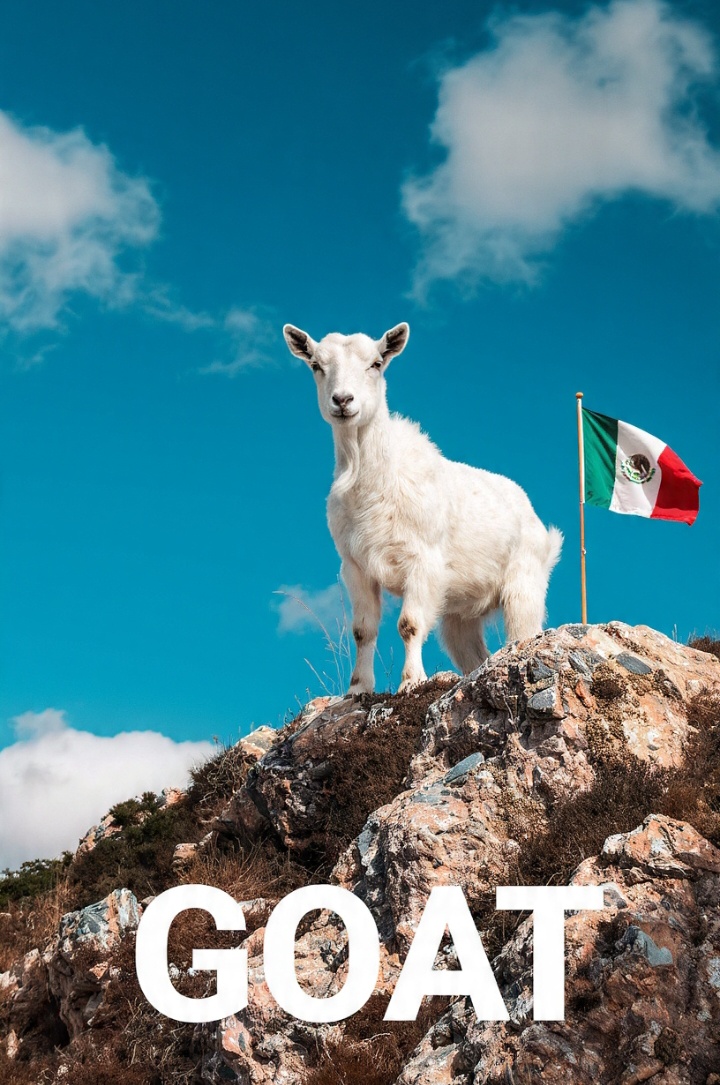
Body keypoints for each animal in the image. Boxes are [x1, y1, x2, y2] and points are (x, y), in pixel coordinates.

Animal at [283, 322, 562, 694]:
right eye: (316, 365)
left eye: (376, 363)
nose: (342, 401)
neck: (372, 482)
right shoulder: (355, 566)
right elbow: (362, 630)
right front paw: (358, 689)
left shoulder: (423, 561)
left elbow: (409, 624)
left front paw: (411, 681)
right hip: (460, 613)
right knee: (473, 652)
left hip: (524, 585)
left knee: (522, 633)